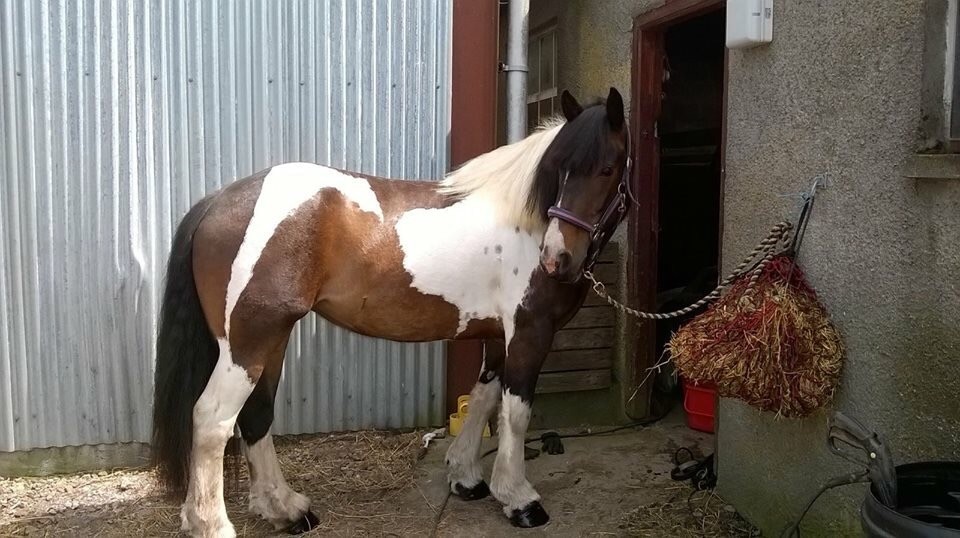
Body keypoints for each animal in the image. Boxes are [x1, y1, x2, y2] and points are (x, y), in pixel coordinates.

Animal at [151, 87, 632, 537]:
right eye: (561, 168)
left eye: (607, 169)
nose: (558, 259)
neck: (526, 220)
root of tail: (216, 201)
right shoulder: (531, 332)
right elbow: (516, 412)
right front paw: (519, 499)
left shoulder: (500, 336)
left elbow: (484, 396)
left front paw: (466, 476)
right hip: (249, 342)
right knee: (212, 420)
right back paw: (212, 524)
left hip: (269, 339)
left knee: (256, 414)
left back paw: (286, 510)